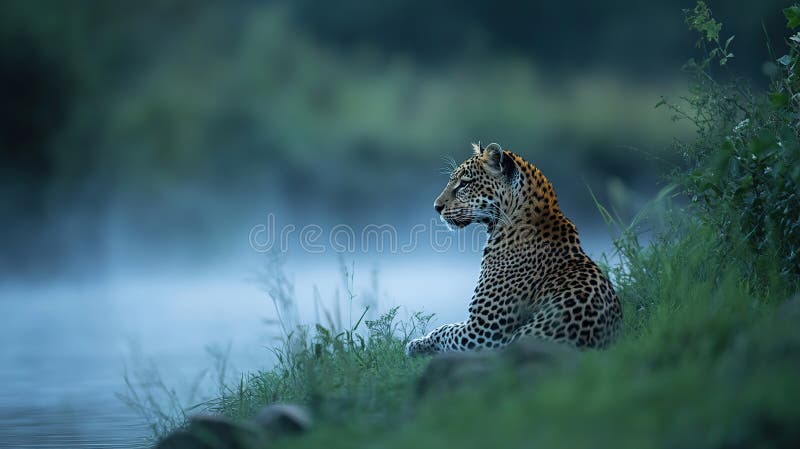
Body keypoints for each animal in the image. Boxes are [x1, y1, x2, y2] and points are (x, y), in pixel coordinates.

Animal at [406, 142, 622, 356]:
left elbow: (445, 331)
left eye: (464, 184)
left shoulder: (483, 331)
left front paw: (415, 345)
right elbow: (447, 328)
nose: (436, 207)